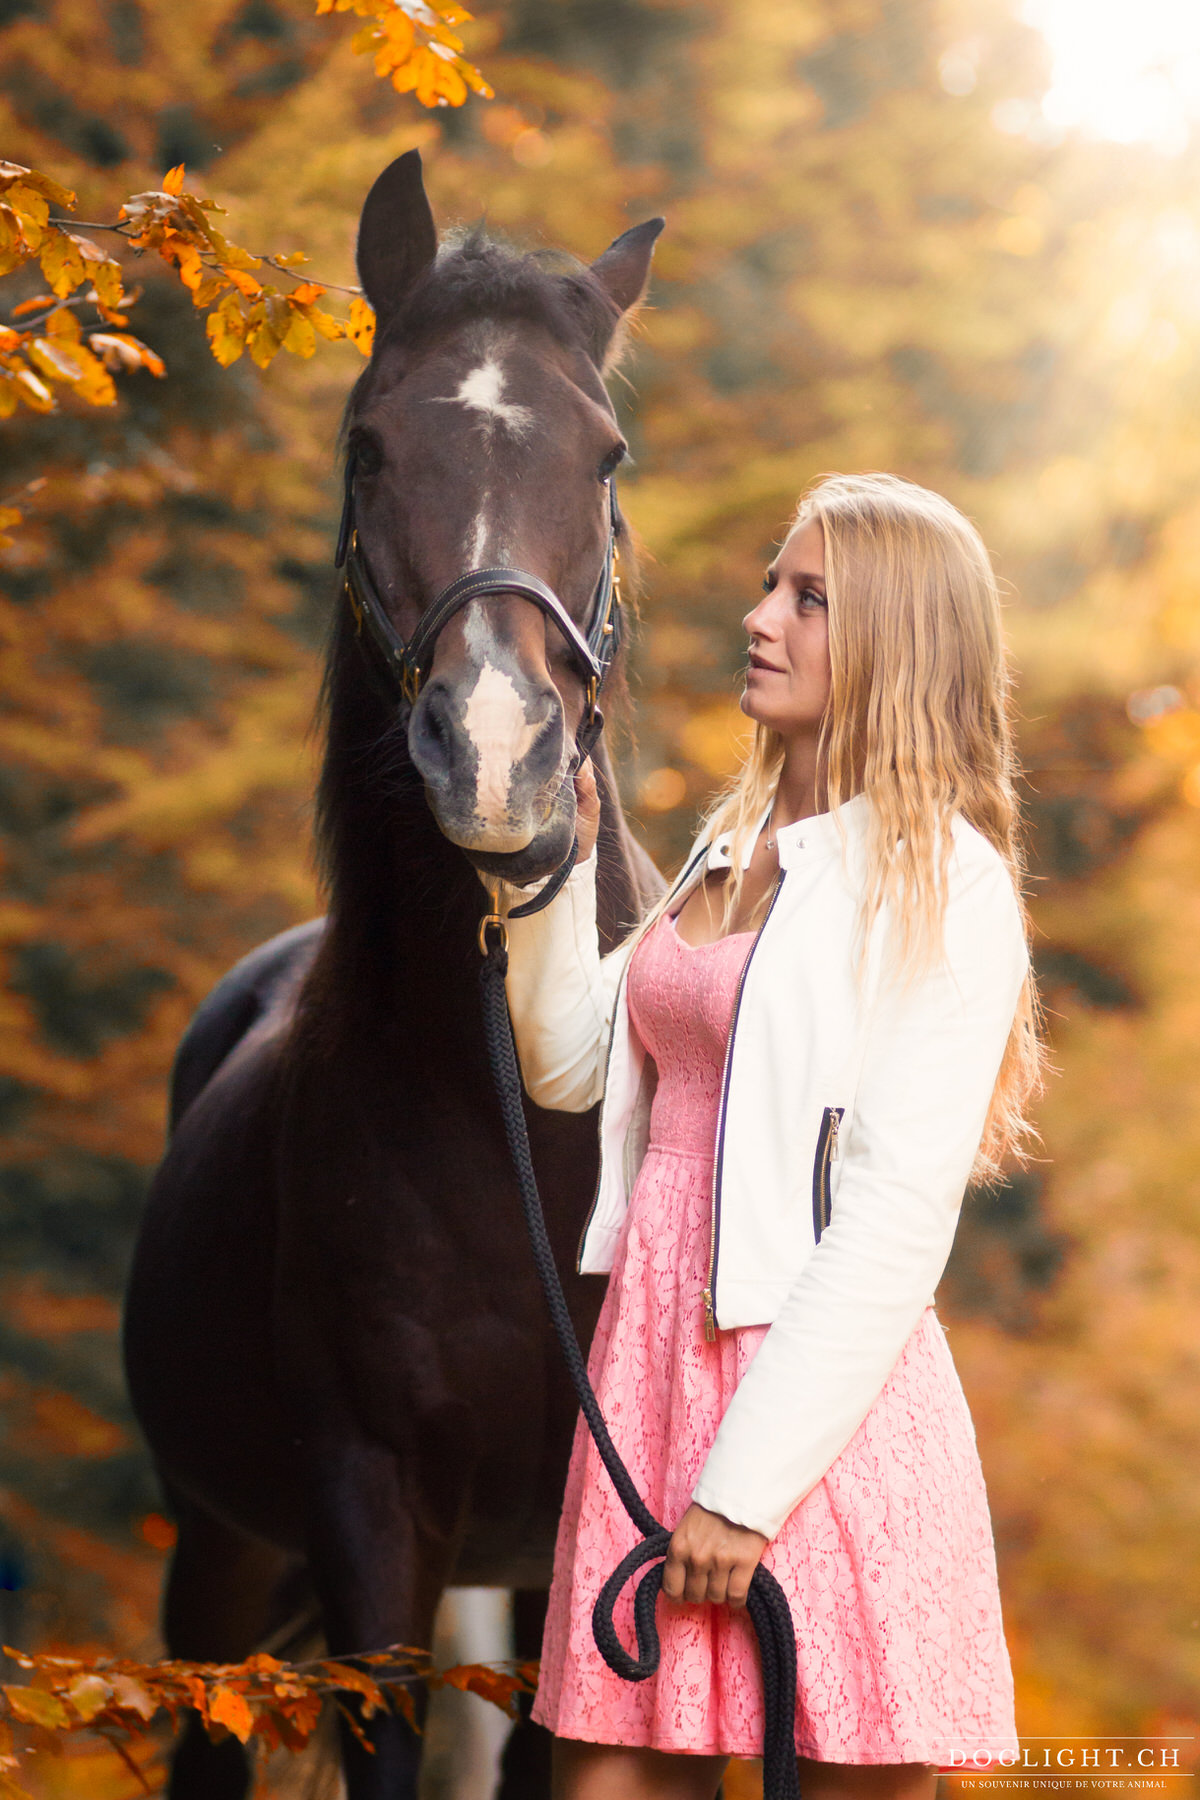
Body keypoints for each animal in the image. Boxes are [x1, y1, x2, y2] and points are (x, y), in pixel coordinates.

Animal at [122, 149, 665, 1799]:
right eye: (368, 449)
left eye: (607, 457)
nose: (494, 755)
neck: (508, 1114)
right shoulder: (369, 1525)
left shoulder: (585, 1542)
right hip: (224, 1559)